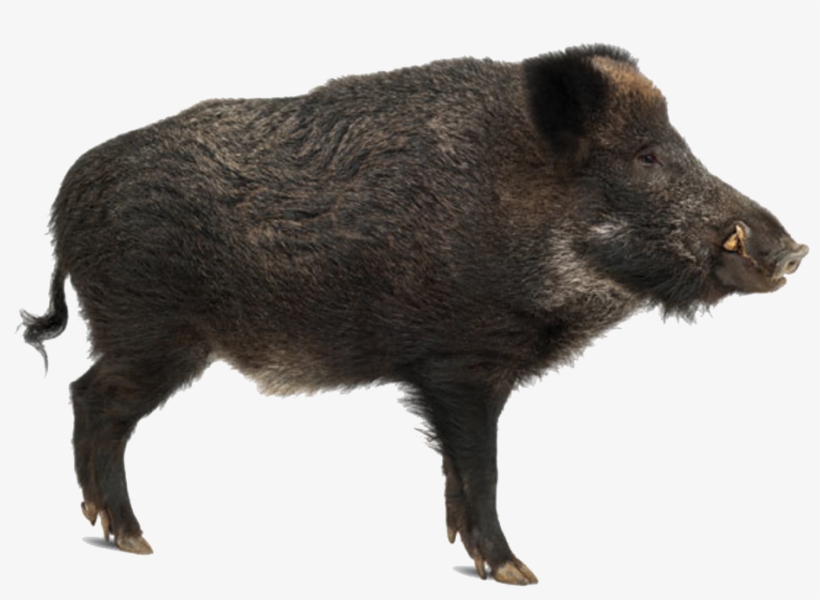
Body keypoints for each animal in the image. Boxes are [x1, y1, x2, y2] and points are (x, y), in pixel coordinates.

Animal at [21, 44, 808, 585]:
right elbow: (483, 467)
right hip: (152, 330)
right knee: (90, 399)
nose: (795, 249)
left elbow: (458, 473)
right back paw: (135, 540)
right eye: (646, 156)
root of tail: (65, 207)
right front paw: (519, 573)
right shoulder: (461, 364)